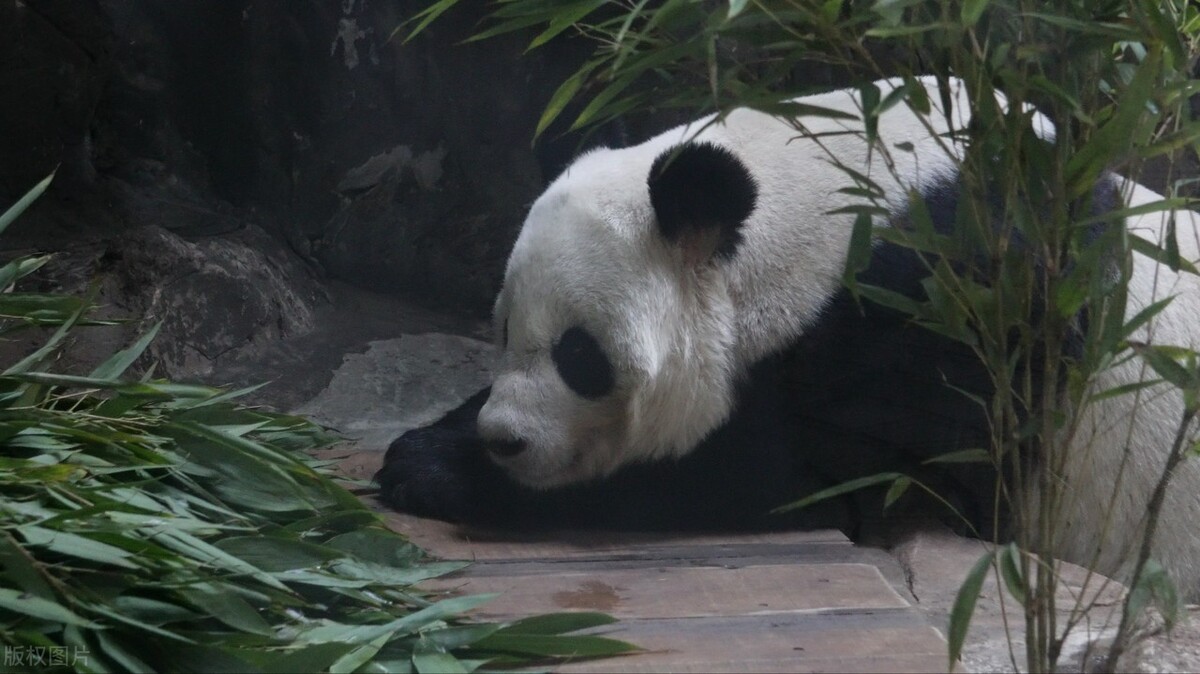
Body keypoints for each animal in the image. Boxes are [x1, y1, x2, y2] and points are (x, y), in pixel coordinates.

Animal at [376, 76, 1200, 596]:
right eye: (502, 328)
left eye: (579, 356)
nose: (505, 438)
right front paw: (425, 442)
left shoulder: (957, 313)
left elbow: (788, 476)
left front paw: (436, 469)